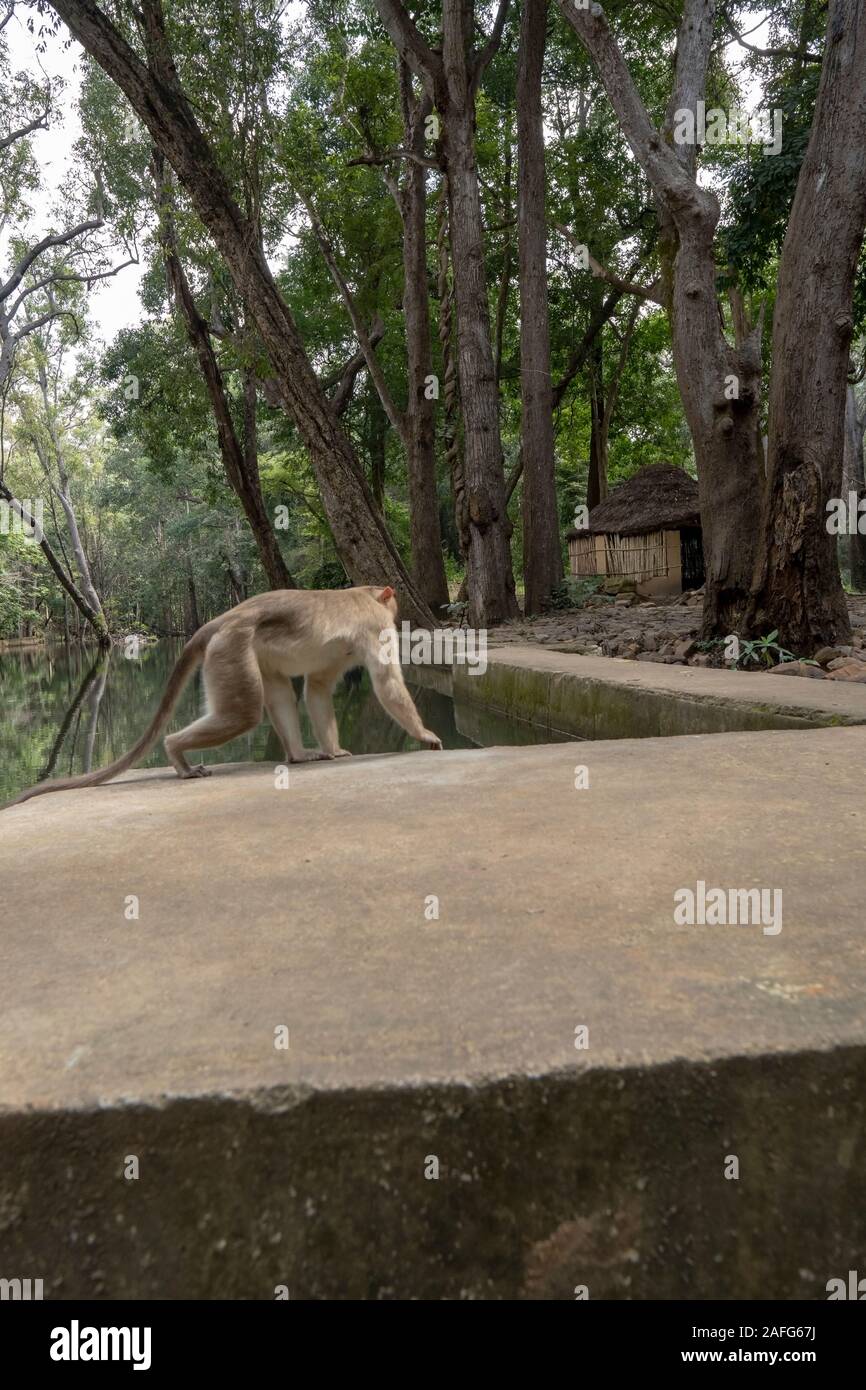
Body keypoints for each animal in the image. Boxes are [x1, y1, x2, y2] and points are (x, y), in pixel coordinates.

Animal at [6, 586, 442, 808]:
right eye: (392, 601)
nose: (401, 605)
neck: (362, 593)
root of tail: (223, 619)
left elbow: (318, 688)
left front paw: (333, 750)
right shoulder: (376, 625)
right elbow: (386, 683)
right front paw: (425, 735)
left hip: (243, 650)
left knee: (276, 692)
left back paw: (297, 755)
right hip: (231, 650)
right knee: (243, 713)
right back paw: (176, 752)